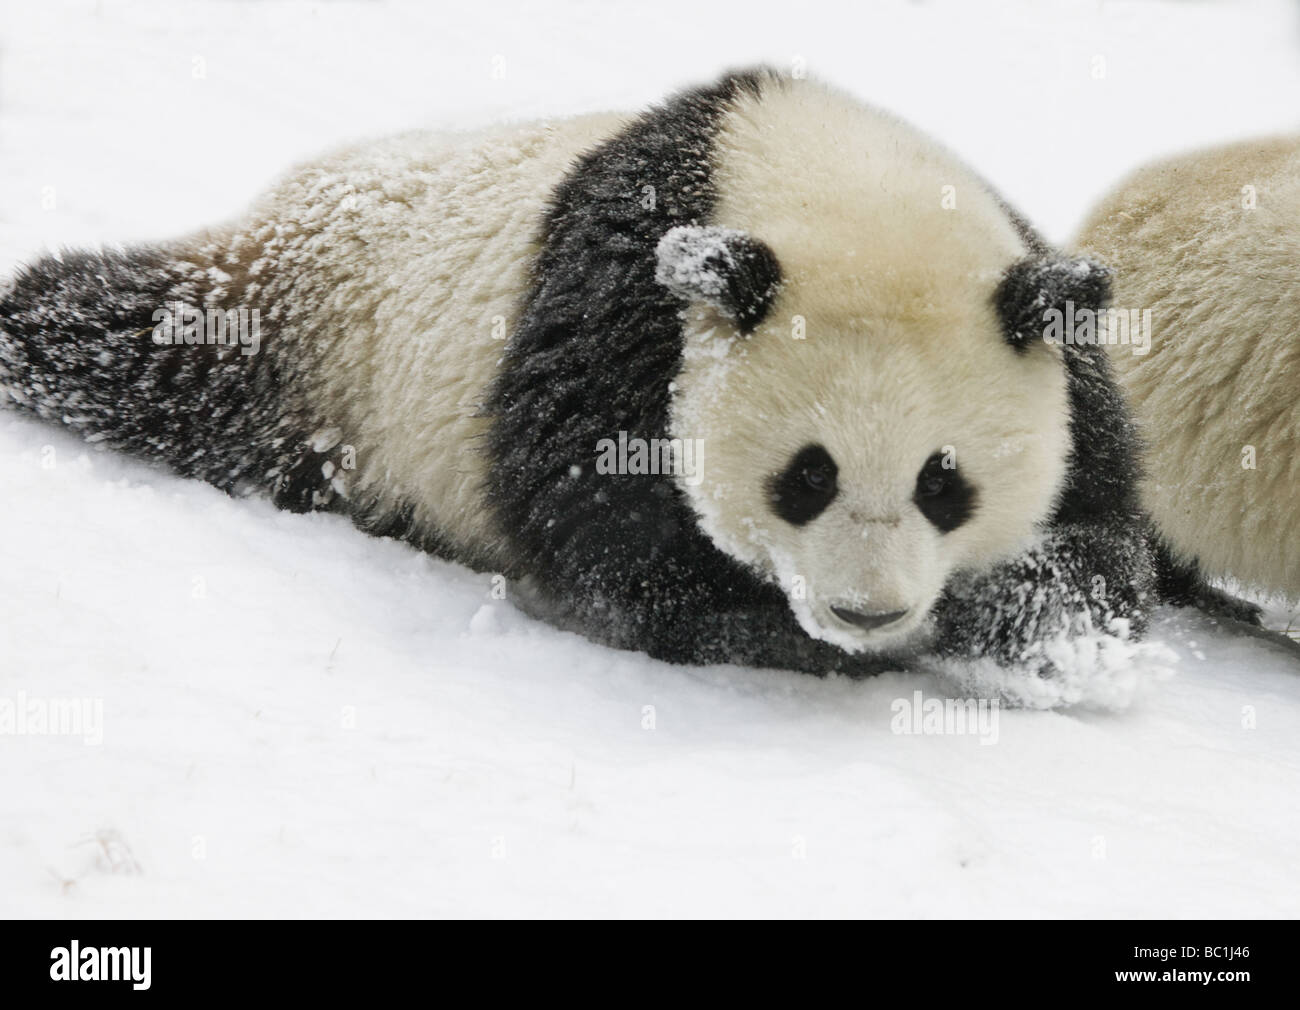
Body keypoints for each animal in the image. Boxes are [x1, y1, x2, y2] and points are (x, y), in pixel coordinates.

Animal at [1, 68, 1175, 675]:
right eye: (806, 476)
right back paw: (35, 328)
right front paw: (763, 627)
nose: (866, 611)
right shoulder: (627, 315)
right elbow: (598, 524)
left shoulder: (1054, 322)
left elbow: (1108, 546)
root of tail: (296, 196)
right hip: (318, 336)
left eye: (944, 482)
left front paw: (1009, 611)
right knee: (159, 352)